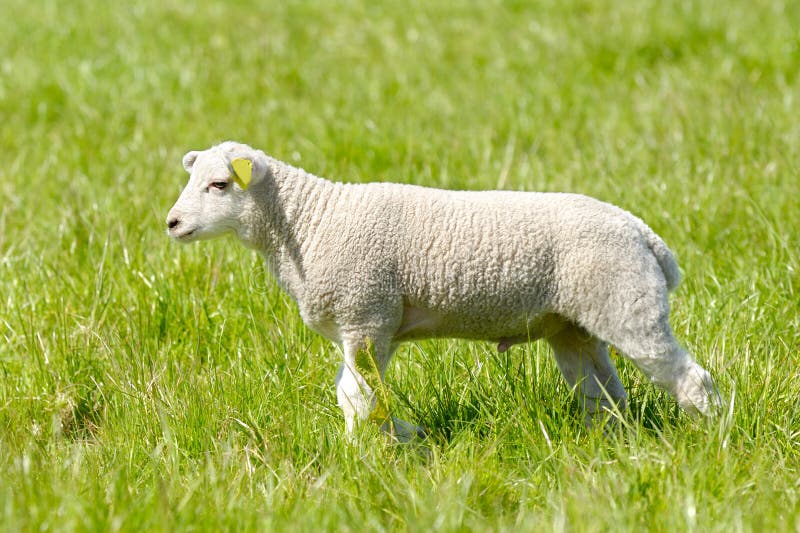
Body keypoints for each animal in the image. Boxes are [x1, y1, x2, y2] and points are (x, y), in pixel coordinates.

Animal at [166, 141, 720, 439]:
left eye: (219, 185)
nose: (171, 223)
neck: (308, 223)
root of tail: (643, 234)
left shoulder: (366, 316)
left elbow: (357, 397)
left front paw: (363, 453)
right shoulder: (368, 326)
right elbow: (354, 394)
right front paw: (382, 441)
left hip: (628, 304)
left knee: (691, 379)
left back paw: (711, 434)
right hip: (574, 325)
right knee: (604, 395)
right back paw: (610, 445)